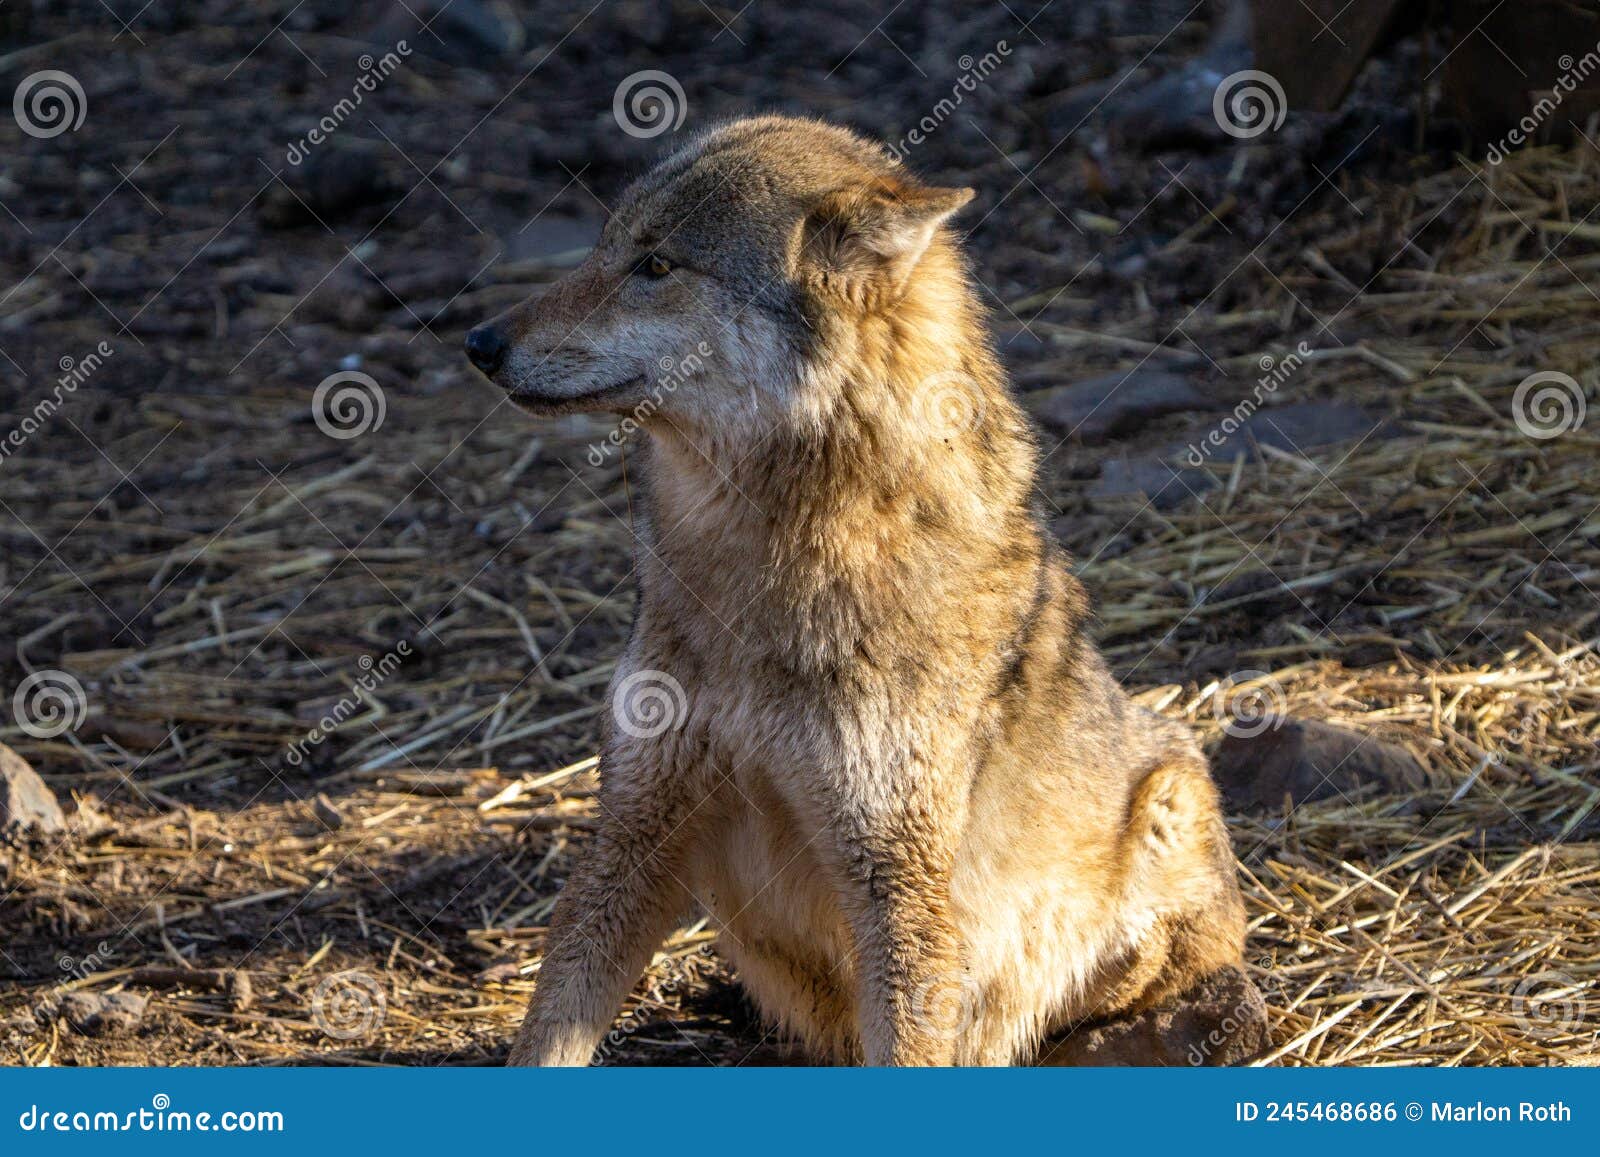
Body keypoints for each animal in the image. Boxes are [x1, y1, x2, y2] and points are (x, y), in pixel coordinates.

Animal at [465, 115, 1260, 1066]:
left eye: (656, 265)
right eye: (603, 246)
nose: (477, 342)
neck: (764, 574)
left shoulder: (899, 876)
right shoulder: (637, 827)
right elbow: (551, 1025)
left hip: (1169, 792)